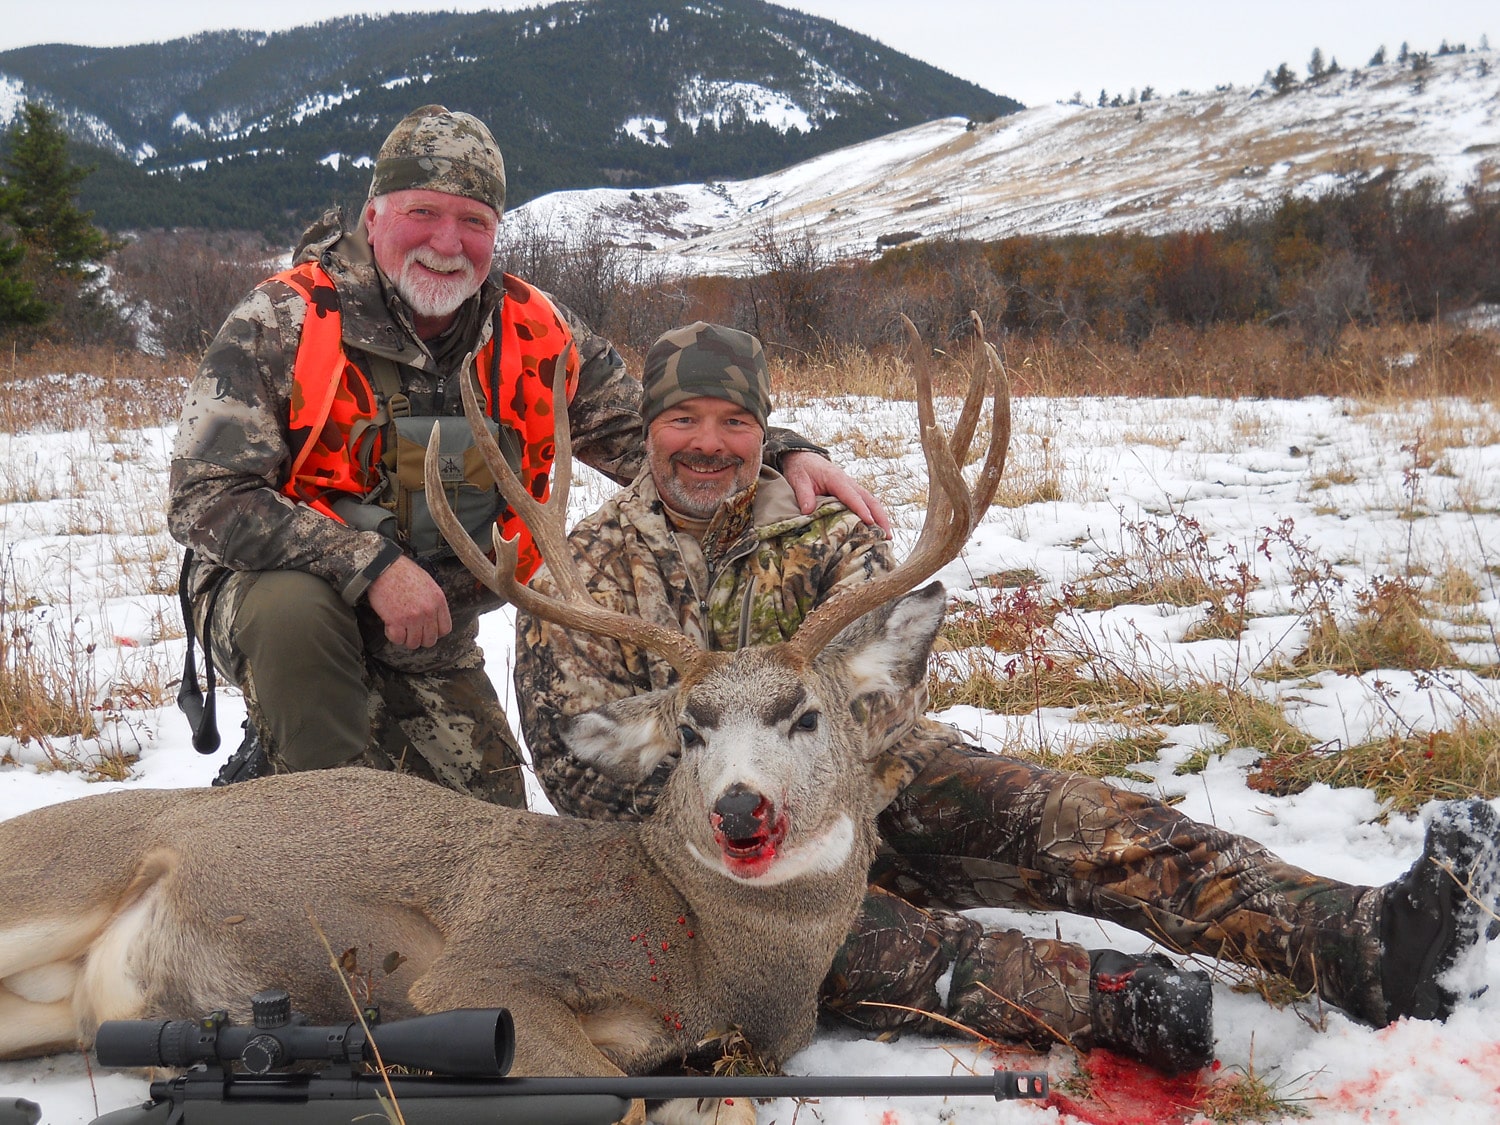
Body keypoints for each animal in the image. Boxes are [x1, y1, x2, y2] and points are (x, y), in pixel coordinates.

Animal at [0, 316, 1009, 1125]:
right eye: (689, 729)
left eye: (804, 715)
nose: (738, 809)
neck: (711, 952)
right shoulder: (480, 969)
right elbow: (619, 1093)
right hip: (59, 872)